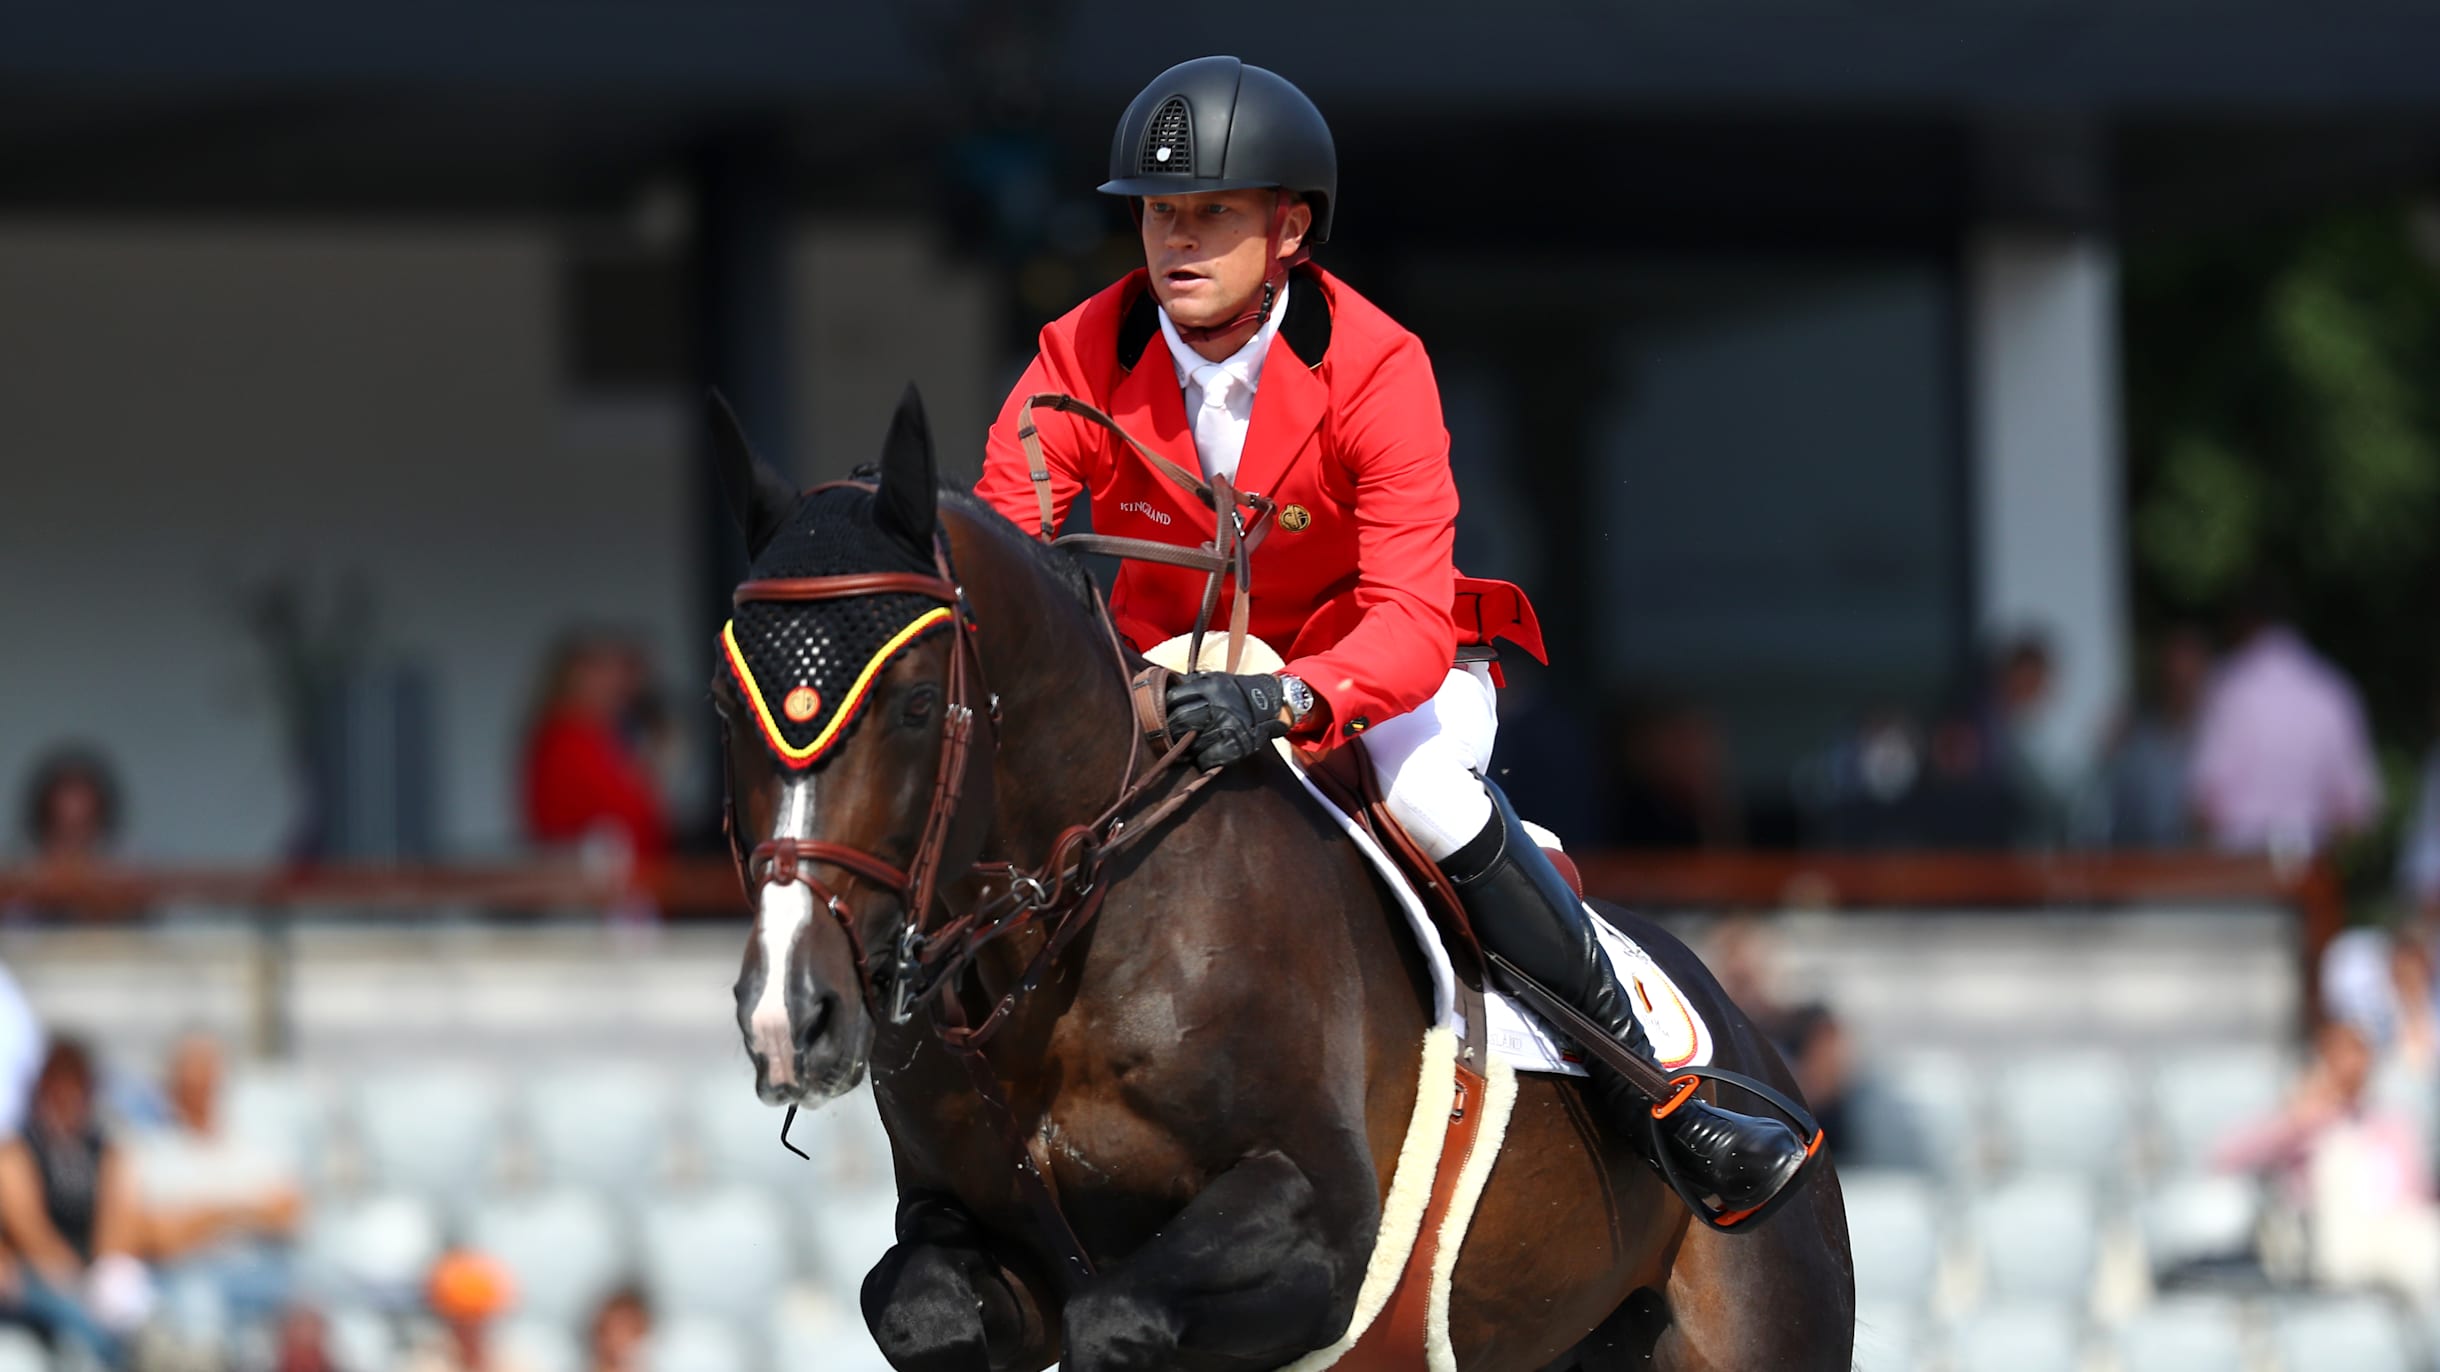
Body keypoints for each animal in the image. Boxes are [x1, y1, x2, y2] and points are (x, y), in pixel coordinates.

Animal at [712, 388, 1854, 1367]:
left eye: (913, 705)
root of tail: (1752, 1045)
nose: (790, 1013)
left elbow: (1118, 1314)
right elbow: (923, 1306)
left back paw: (1715, 1140)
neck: (1073, 942)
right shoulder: (975, 1232)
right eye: (728, 705)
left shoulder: (1325, 1246)